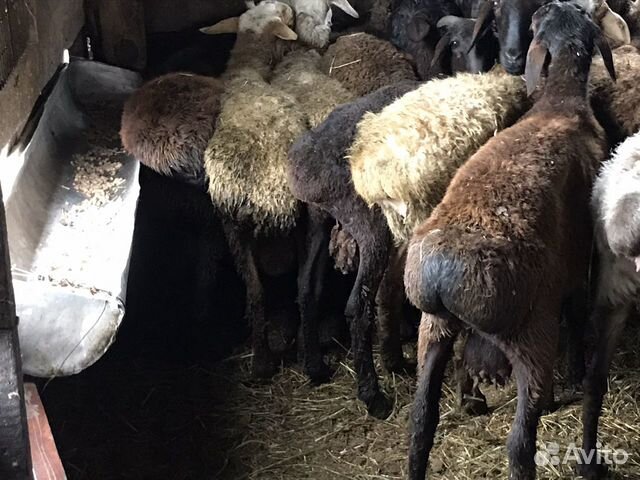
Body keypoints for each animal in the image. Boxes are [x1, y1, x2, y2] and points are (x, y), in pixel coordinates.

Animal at [402, 1, 617, 477]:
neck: (559, 102)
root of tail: (441, 275)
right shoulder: (579, 262)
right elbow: (577, 316)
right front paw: (576, 372)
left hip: (433, 330)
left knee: (420, 424)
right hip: (531, 335)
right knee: (519, 444)